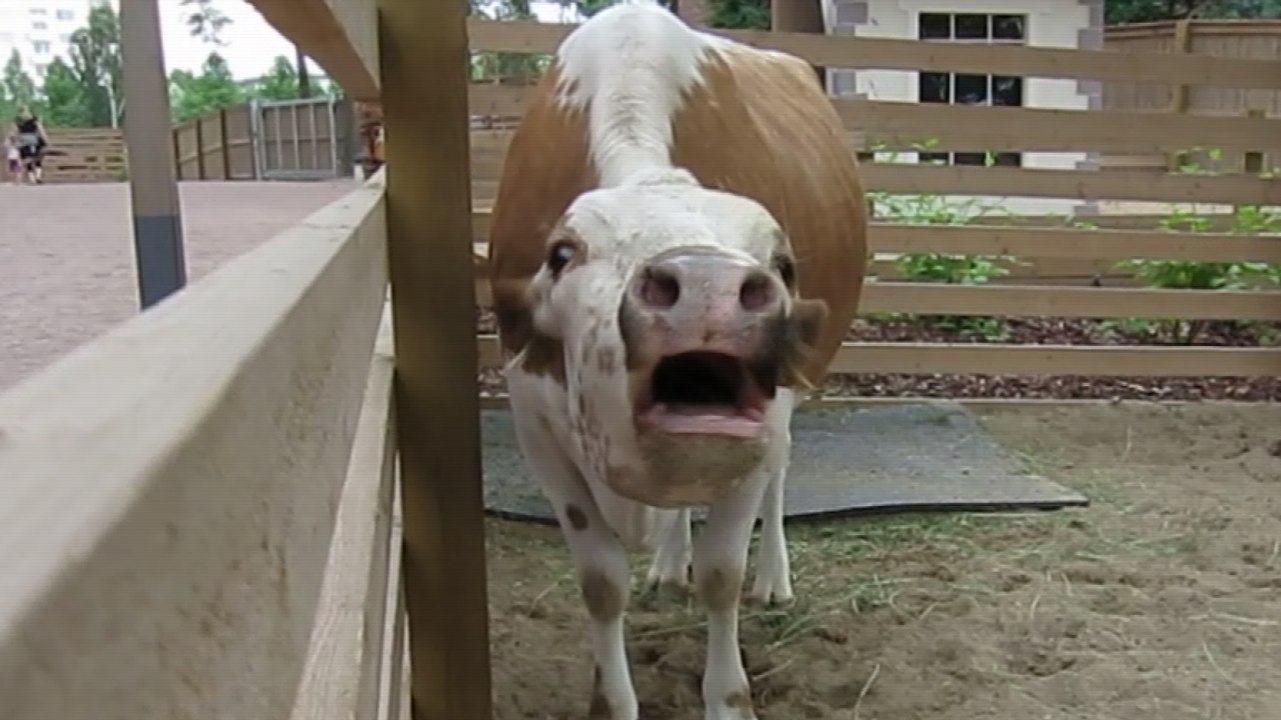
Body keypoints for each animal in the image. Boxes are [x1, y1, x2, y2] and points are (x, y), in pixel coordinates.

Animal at [486, 2, 868, 717]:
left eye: (784, 264)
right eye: (562, 253)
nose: (709, 286)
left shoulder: (764, 420)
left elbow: (722, 573)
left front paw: (727, 697)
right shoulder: (534, 418)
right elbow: (602, 581)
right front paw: (613, 700)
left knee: (779, 474)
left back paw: (773, 575)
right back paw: (667, 563)